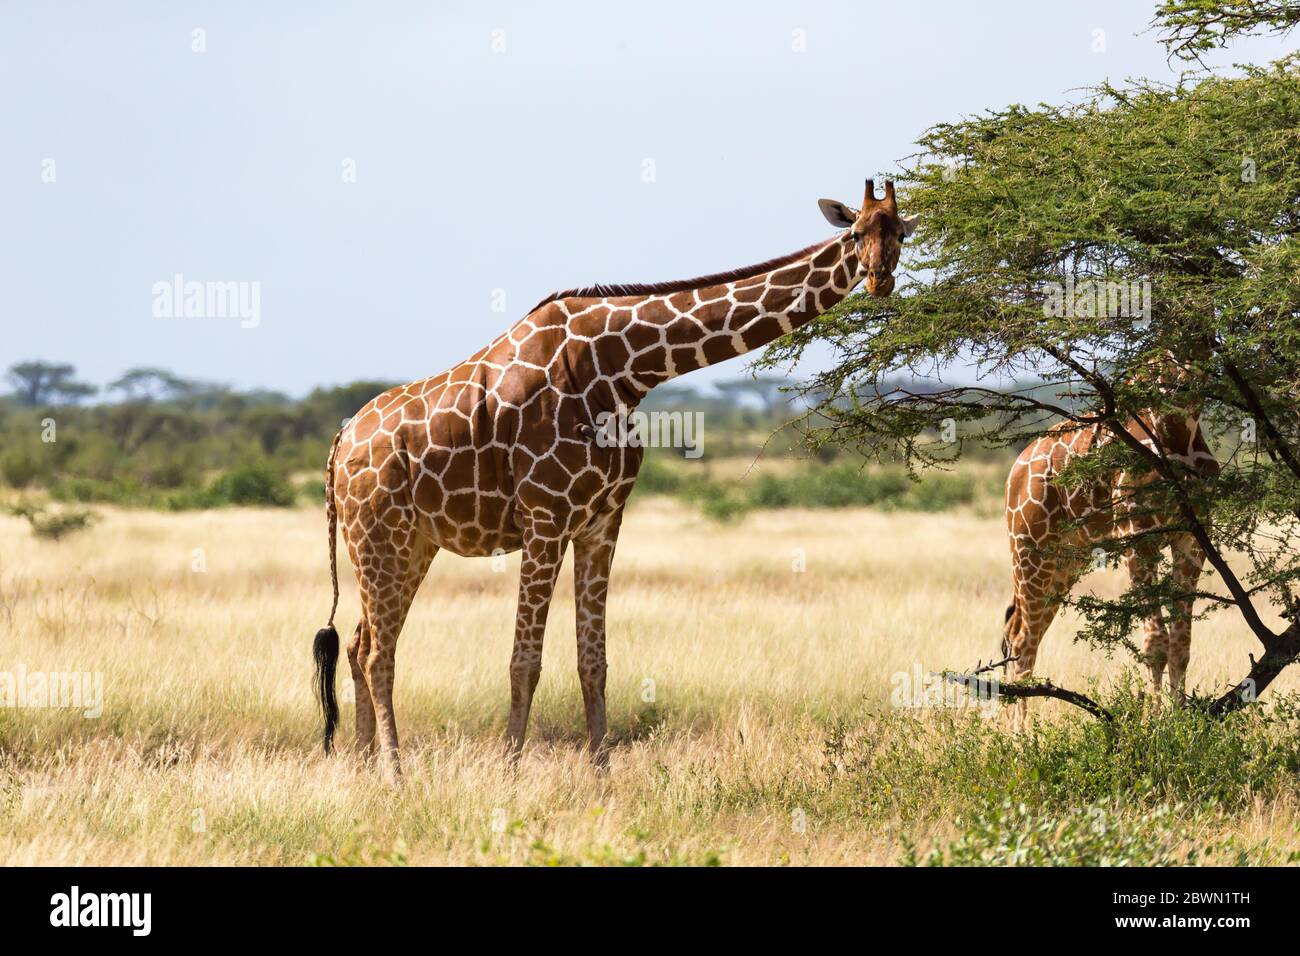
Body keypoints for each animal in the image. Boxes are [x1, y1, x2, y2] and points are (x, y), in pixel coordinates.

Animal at [311, 179, 919, 778]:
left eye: (901, 233)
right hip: (378, 536)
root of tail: (339, 444)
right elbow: (524, 660)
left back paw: (362, 767)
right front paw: (509, 774)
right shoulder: (545, 517)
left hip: (413, 542)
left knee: (361, 642)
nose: (879, 278)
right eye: (857, 232)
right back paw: (394, 774)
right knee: (377, 651)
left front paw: (601, 774)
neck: (624, 370)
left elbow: (593, 660)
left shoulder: (602, 518)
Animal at [1002, 364, 1220, 721]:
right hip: (1029, 550)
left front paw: (1179, 719)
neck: (1178, 428)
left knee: (1020, 633)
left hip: (1067, 561)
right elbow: (1154, 643)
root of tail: (1016, 468)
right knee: (1022, 643)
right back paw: (1019, 735)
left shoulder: (1192, 540)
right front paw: (1154, 723)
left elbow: (1180, 643)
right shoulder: (1138, 537)